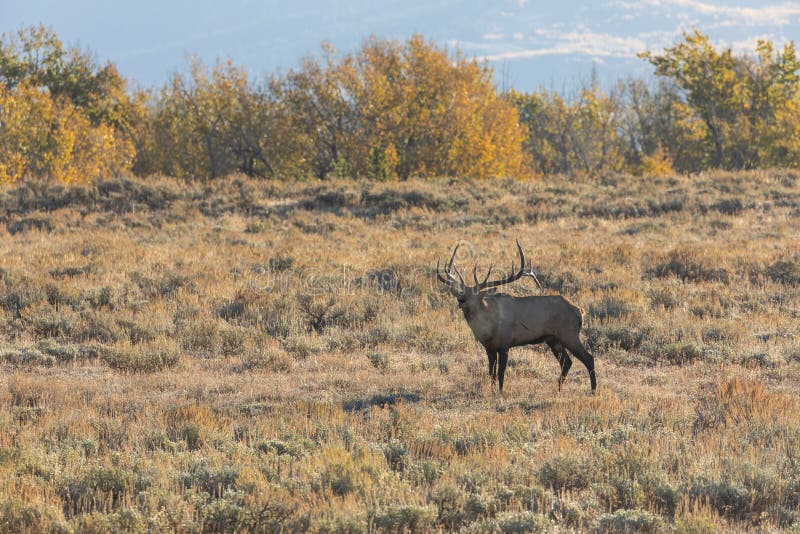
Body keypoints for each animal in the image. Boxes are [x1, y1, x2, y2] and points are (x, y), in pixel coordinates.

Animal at [436, 241, 596, 394]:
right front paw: (492, 391)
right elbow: (491, 372)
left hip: (569, 334)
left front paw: (500, 393)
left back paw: (593, 390)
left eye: (476, 296)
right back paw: (559, 388)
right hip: (553, 339)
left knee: (588, 358)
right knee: (567, 362)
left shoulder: (504, 344)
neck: (488, 329)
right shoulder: (489, 347)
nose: (460, 299)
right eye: (462, 292)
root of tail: (580, 311)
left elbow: (501, 372)